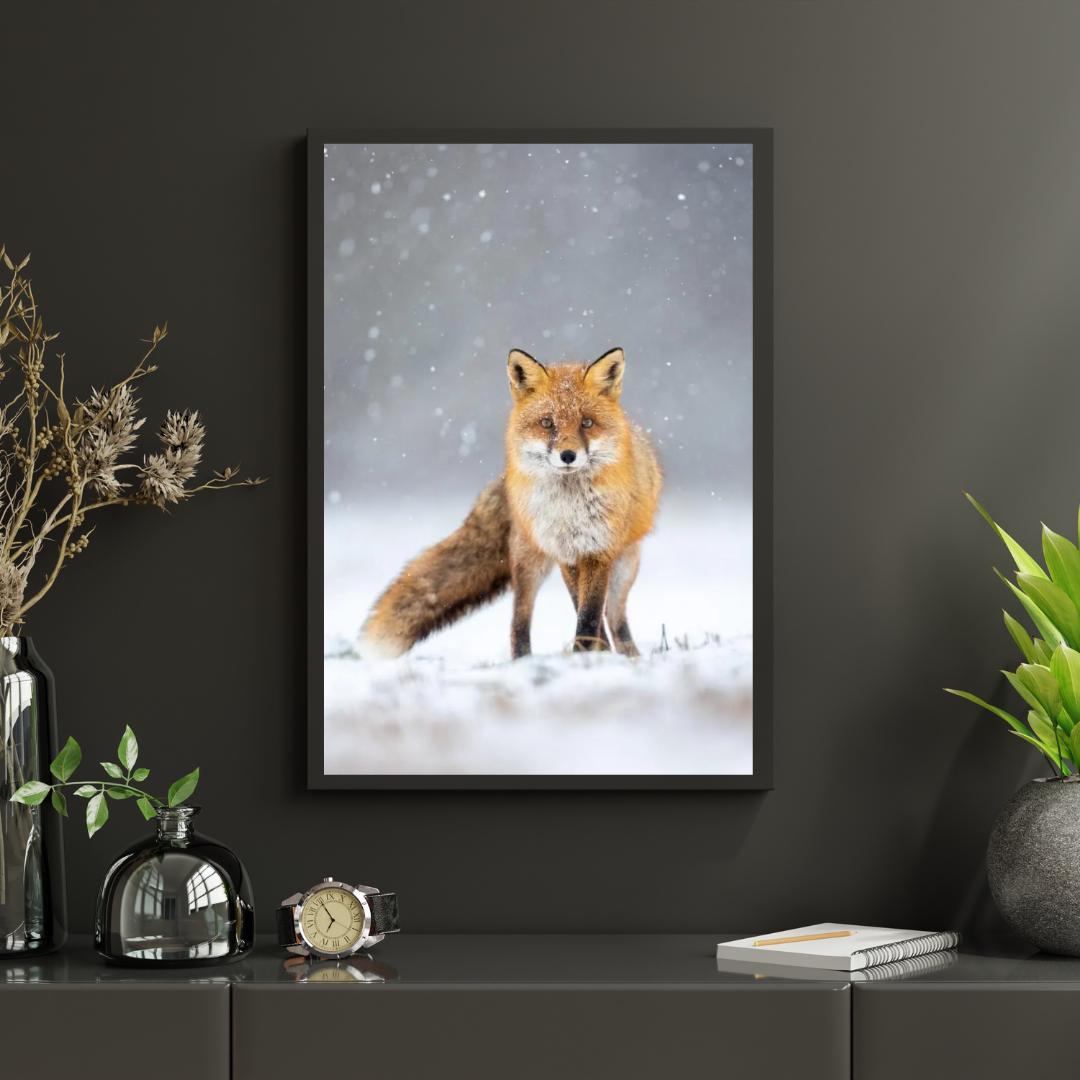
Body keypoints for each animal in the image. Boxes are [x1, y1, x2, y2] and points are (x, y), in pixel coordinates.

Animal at [361, 346, 662, 660]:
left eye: (587, 423)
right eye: (547, 423)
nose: (568, 455)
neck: (570, 508)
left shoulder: (597, 550)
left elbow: (590, 614)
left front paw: (591, 653)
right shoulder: (566, 553)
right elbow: (582, 610)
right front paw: (588, 654)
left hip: (625, 567)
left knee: (615, 617)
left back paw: (628, 655)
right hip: (528, 564)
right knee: (520, 618)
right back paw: (523, 660)